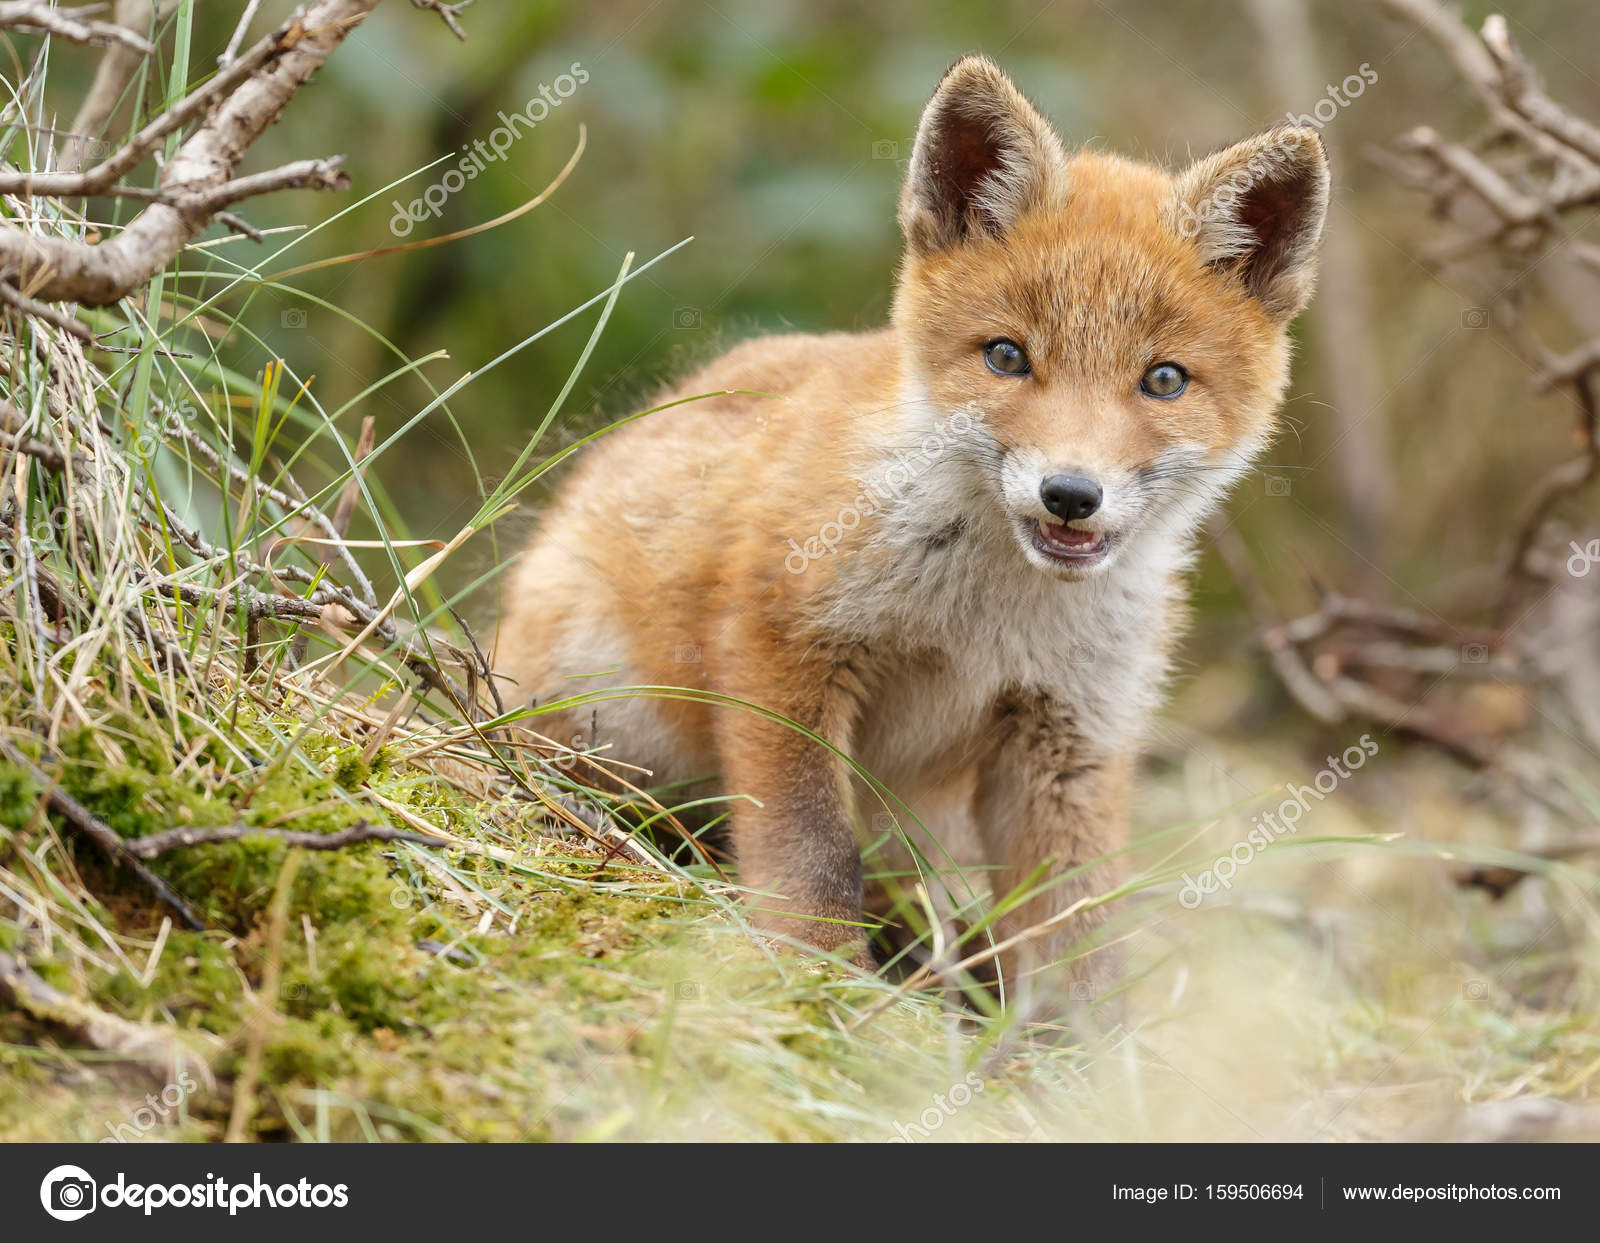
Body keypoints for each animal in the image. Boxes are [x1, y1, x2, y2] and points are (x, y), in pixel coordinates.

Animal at [496, 55, 1327, 1001]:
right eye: (1007, 356)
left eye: (1163, 379)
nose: (1070, 494)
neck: (986, 620)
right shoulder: (779, 641)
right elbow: (813, 849)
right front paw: (819, 983)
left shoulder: (1072, 732)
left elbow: (1078, 934)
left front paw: (1076, 1043)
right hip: (600, 709)